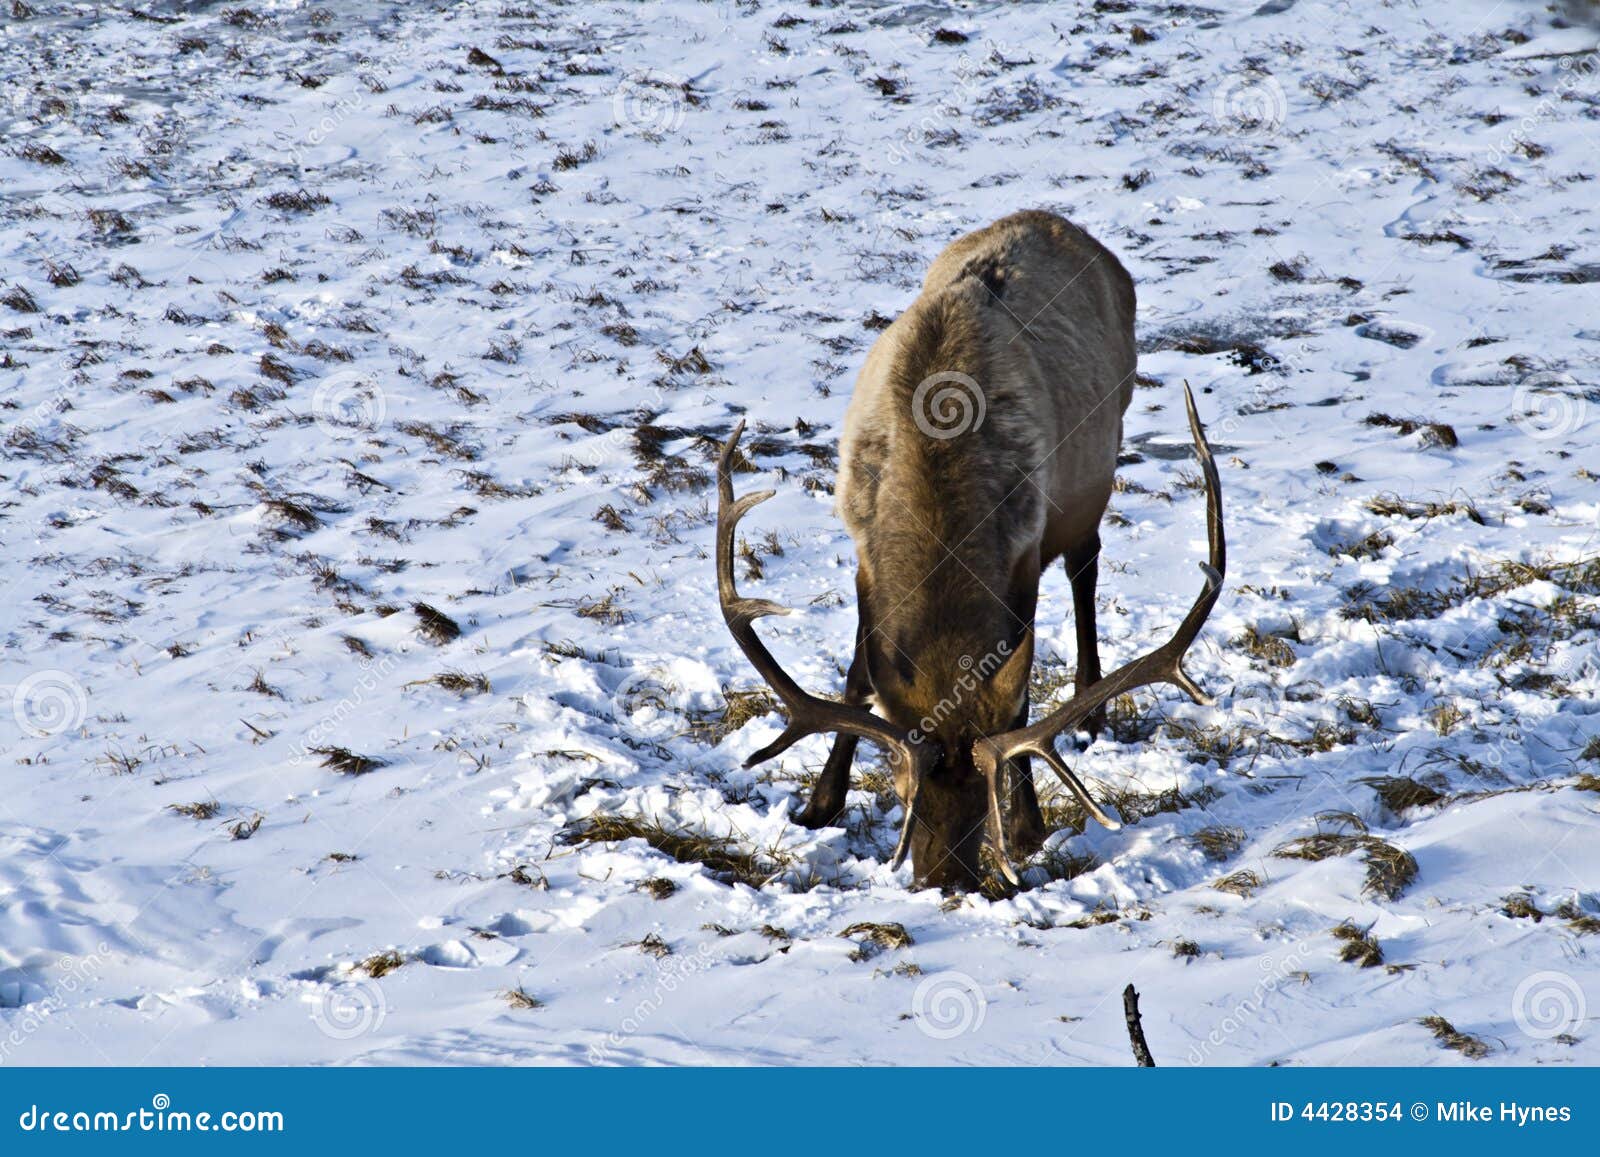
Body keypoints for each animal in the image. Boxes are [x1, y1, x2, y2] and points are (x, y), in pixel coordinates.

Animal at [716, 210, 1225, 890]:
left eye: (983, 795)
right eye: (904, 787)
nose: (944, 879)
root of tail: (1060, 223)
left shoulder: (1024, 557)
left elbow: (1019, 698)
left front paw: (1029, 824)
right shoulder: (863, 552)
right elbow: (857, 677)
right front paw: (820, 804)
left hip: (1095, 468)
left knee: (1086, 565)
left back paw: (1091, 708)